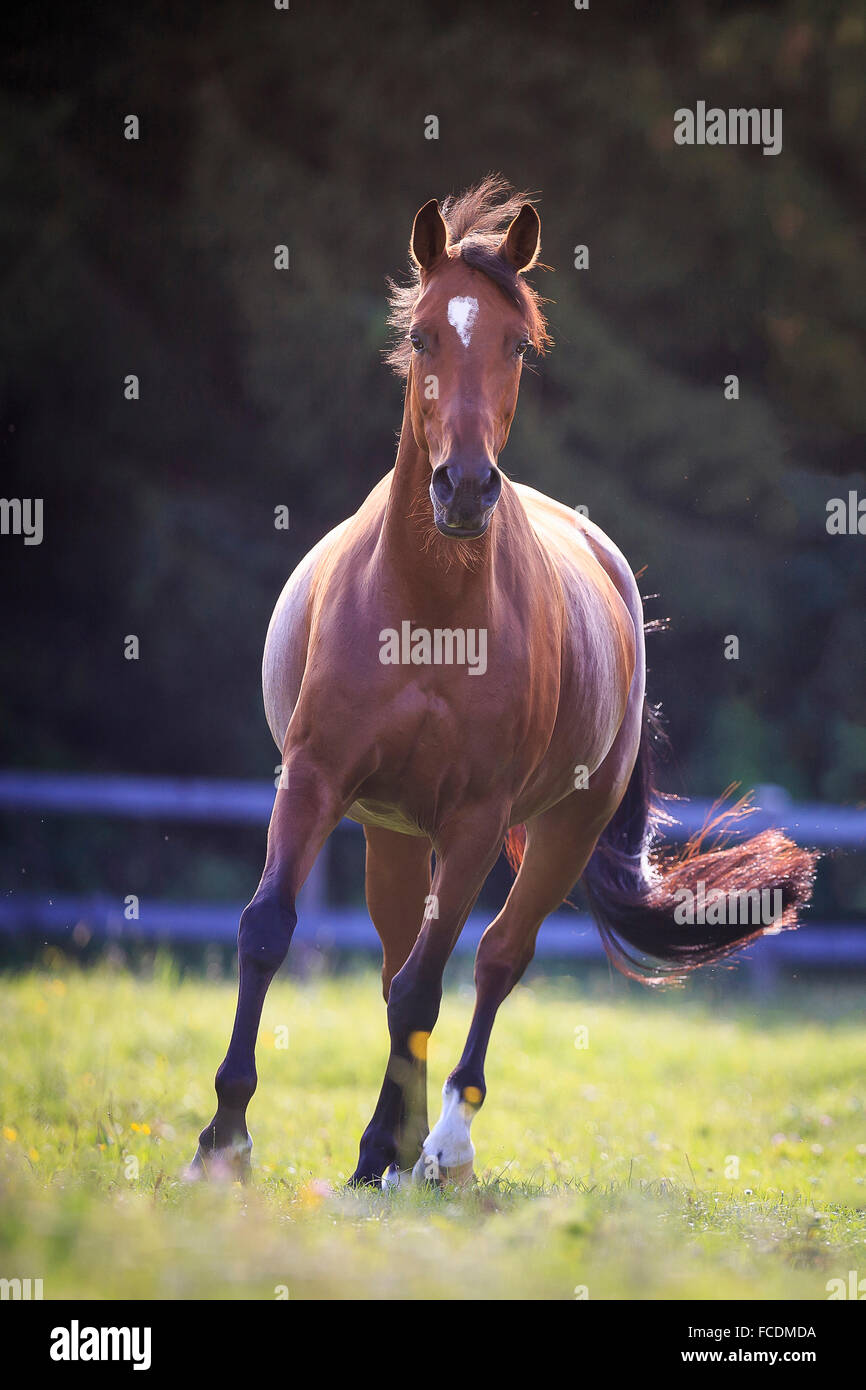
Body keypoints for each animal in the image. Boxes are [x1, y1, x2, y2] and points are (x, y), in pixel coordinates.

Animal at [190, 176, 817, 1189]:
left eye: (517, 343)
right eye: (421, 337)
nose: (464, 488)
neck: (425, 610)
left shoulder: (479, 820)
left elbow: (431, 983)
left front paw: (382, 1147)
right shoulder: (316, 781)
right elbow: (268, 931)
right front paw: (224, 1141)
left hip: (563, 828)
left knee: (489, 961)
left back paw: (441, 1143)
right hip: (392, 832)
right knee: (399, 958)